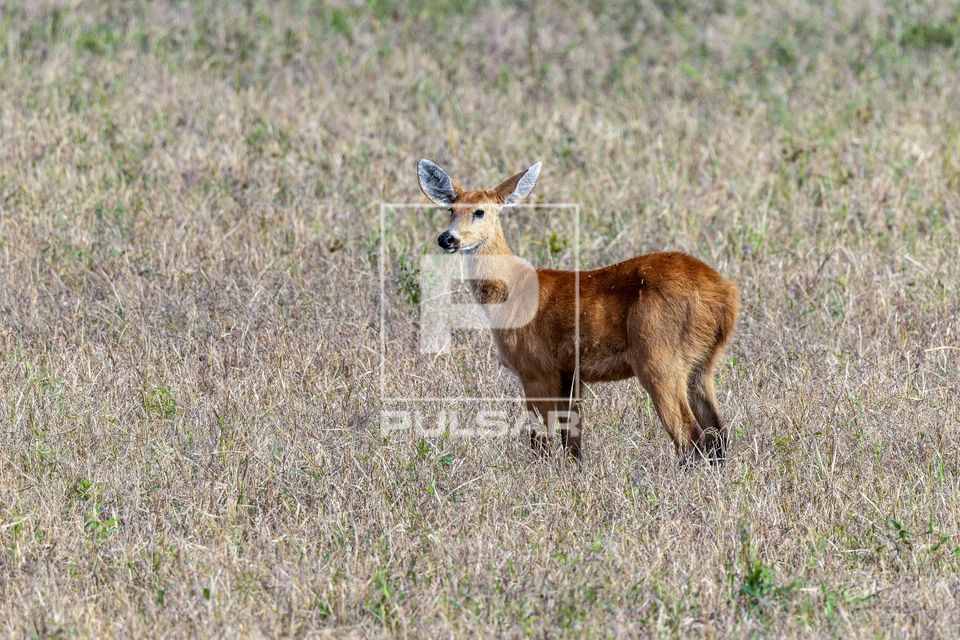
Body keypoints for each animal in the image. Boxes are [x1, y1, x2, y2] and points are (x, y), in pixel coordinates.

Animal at [416, 159, 739, 464]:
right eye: (451, 209)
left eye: (480, 211)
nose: (447, 238)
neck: (513, 291)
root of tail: (725, 295)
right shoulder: (570, 373)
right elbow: (572, 445)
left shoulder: (536, 368)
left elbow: (541, 442)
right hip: (701, 364)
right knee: (718, 434)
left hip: (659, 356)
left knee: (691, 436)